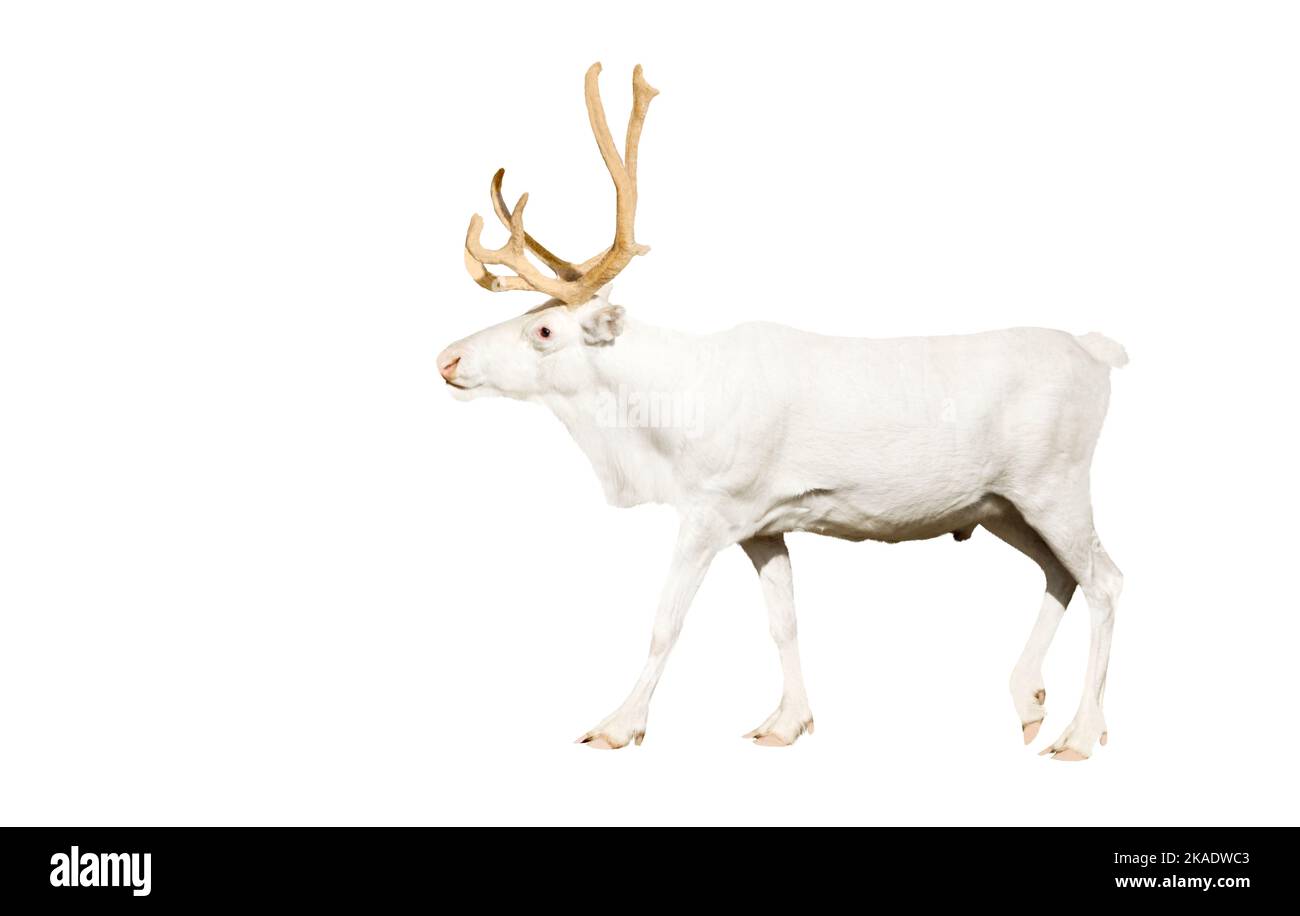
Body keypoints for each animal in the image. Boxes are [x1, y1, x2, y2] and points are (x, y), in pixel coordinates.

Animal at [437, 63, 1127, 760]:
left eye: (544, 330)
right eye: (530, 315)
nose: (447, 358)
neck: (659, 433)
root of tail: (1100, 355)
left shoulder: (712, 506)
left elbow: (666, 619)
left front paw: (616, 725)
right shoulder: (764, 523)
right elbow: (784, 619)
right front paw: (785, 721)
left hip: (1055, 484)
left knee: (1106, 578)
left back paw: (1081, 731)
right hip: (999, 505)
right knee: (1060, 573)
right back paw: (1029, 700)